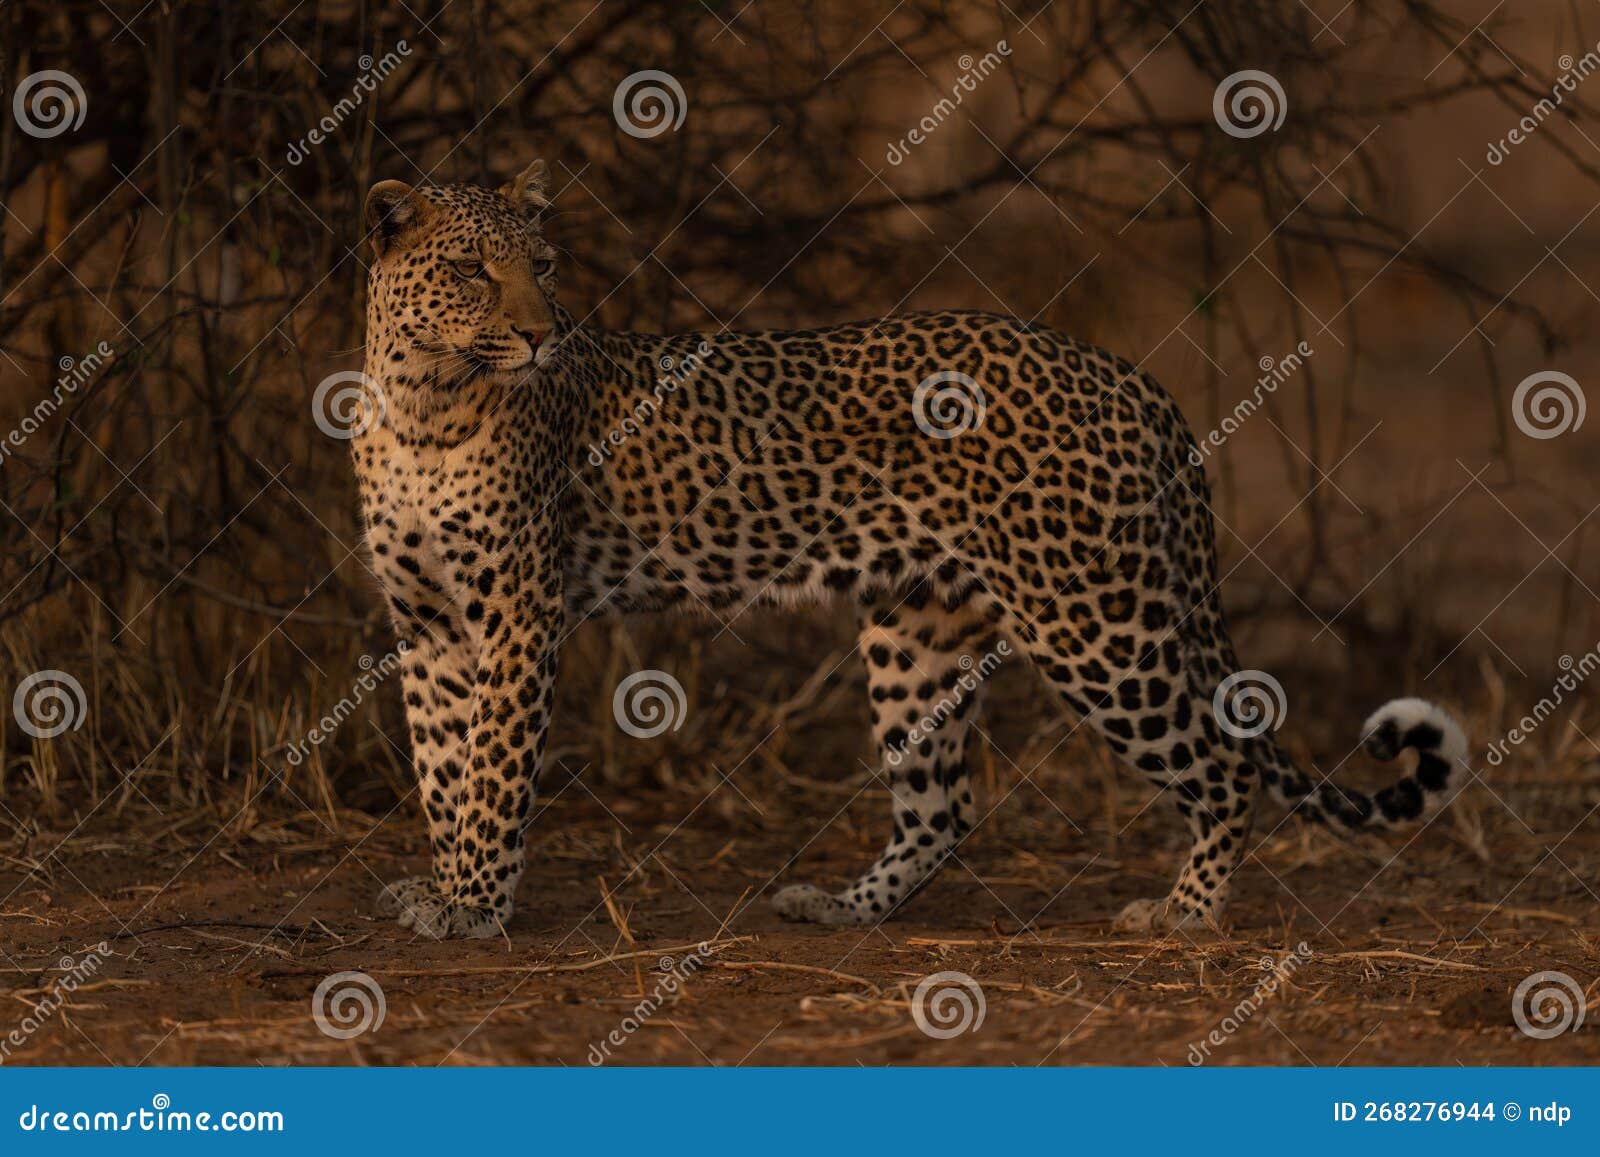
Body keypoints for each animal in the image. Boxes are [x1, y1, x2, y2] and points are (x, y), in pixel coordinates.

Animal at [351, 159, 1468, 940]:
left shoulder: (516, 615)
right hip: (918, 631)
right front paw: (443, 885)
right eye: (471, 272)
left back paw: (1185, 913)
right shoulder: (431, 625)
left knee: (1222, 761)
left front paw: (474, 902)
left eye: (540, 269)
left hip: (1093, 624)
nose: (543, 332)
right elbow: (443, 766)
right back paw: (843, 907)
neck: (423, 404)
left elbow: (494, 770)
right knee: (947, 801)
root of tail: (1127, 375)